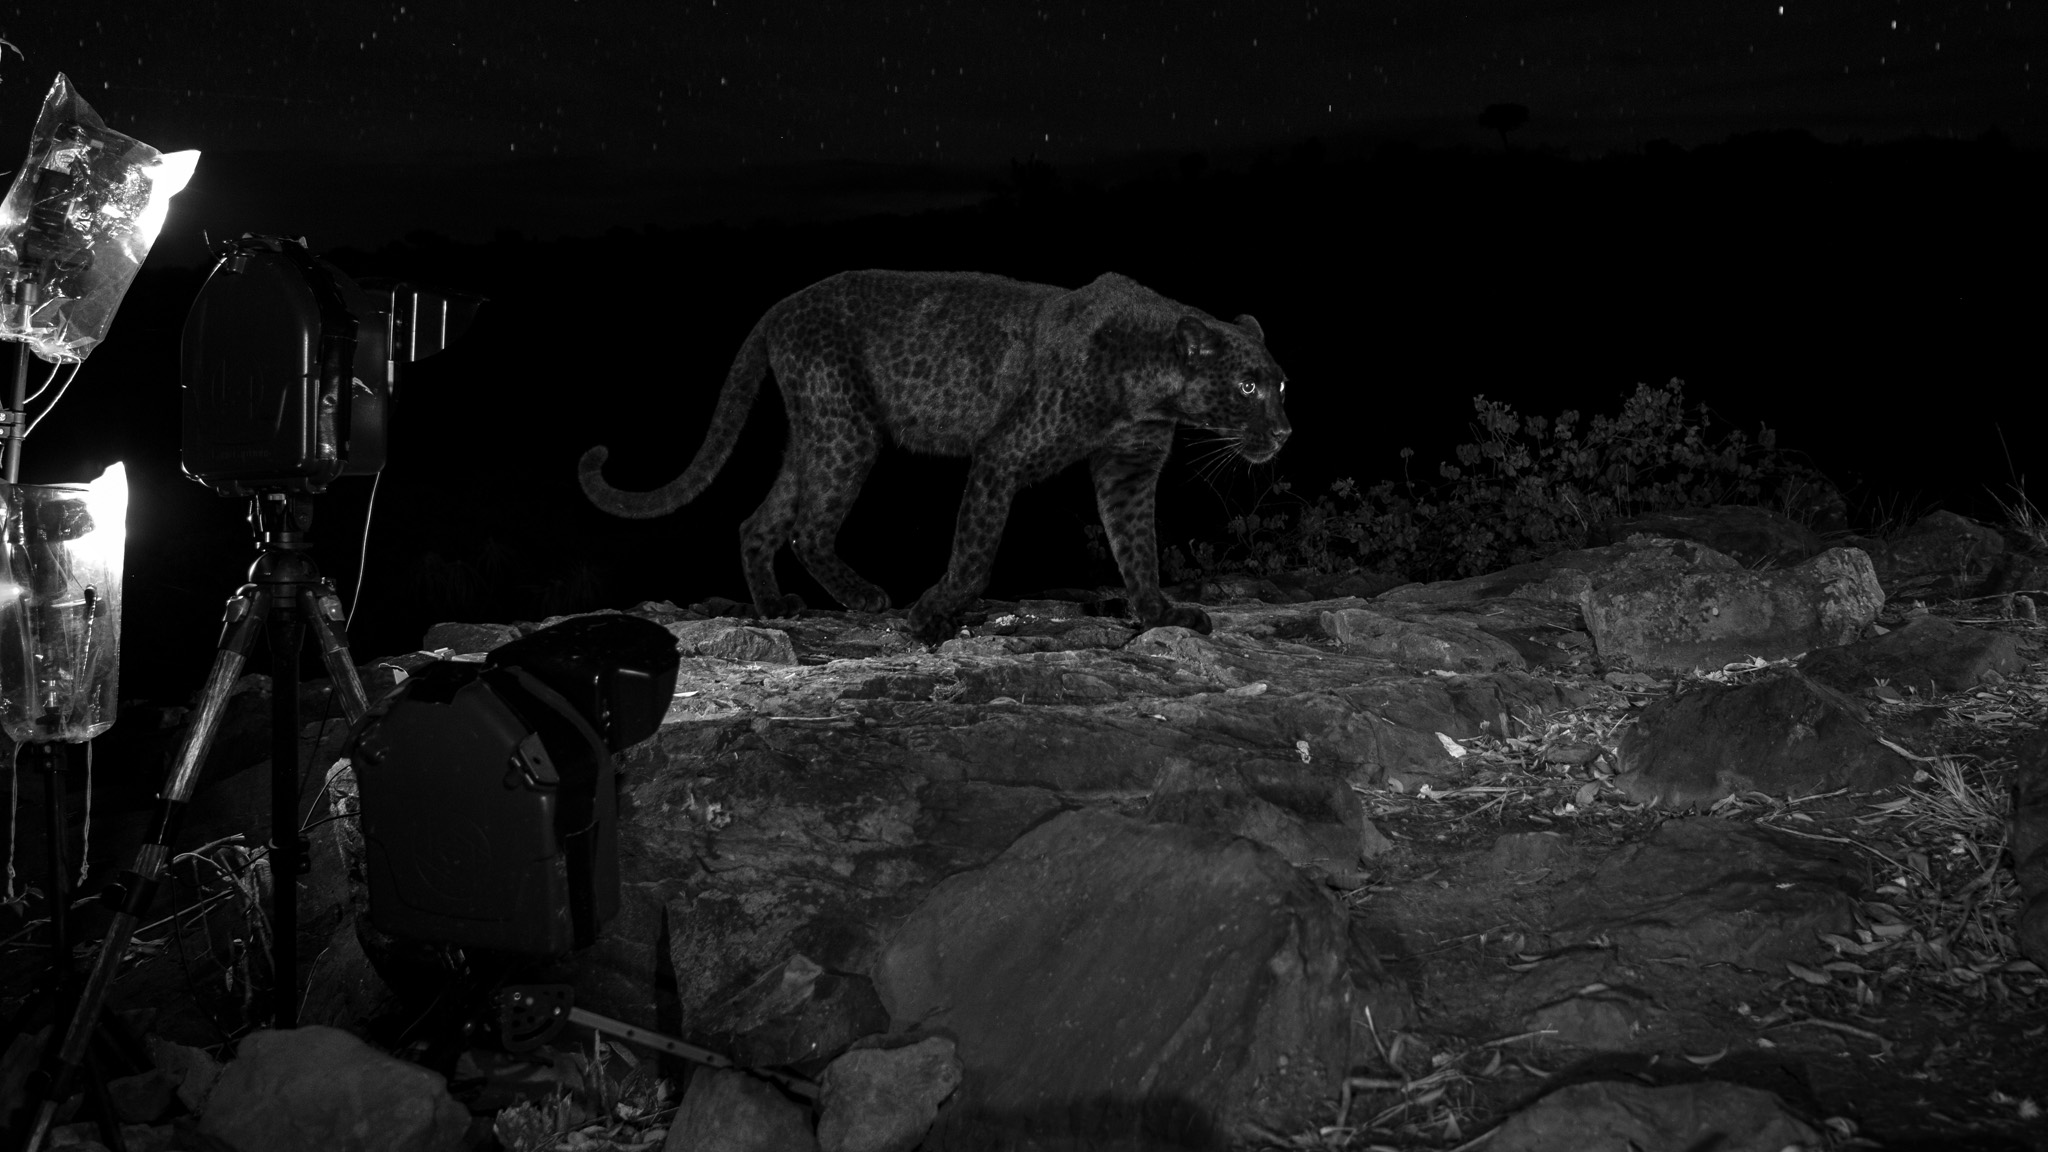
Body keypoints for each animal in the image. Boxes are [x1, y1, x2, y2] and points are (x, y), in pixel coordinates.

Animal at [578, 269, 1291, 643]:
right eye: (1246, 387)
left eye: (1279, 384)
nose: (1285, 432)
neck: (1148, 389)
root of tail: (782, 305)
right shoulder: (1003, 454)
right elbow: (974, 553)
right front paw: (931, 613)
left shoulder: (1130, 470)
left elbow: (1137, 547)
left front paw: (1160, 613)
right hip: (848, 429)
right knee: (809, 527)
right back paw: (866, 597)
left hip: (815, 434)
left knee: (761, 521)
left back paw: (775, 607)